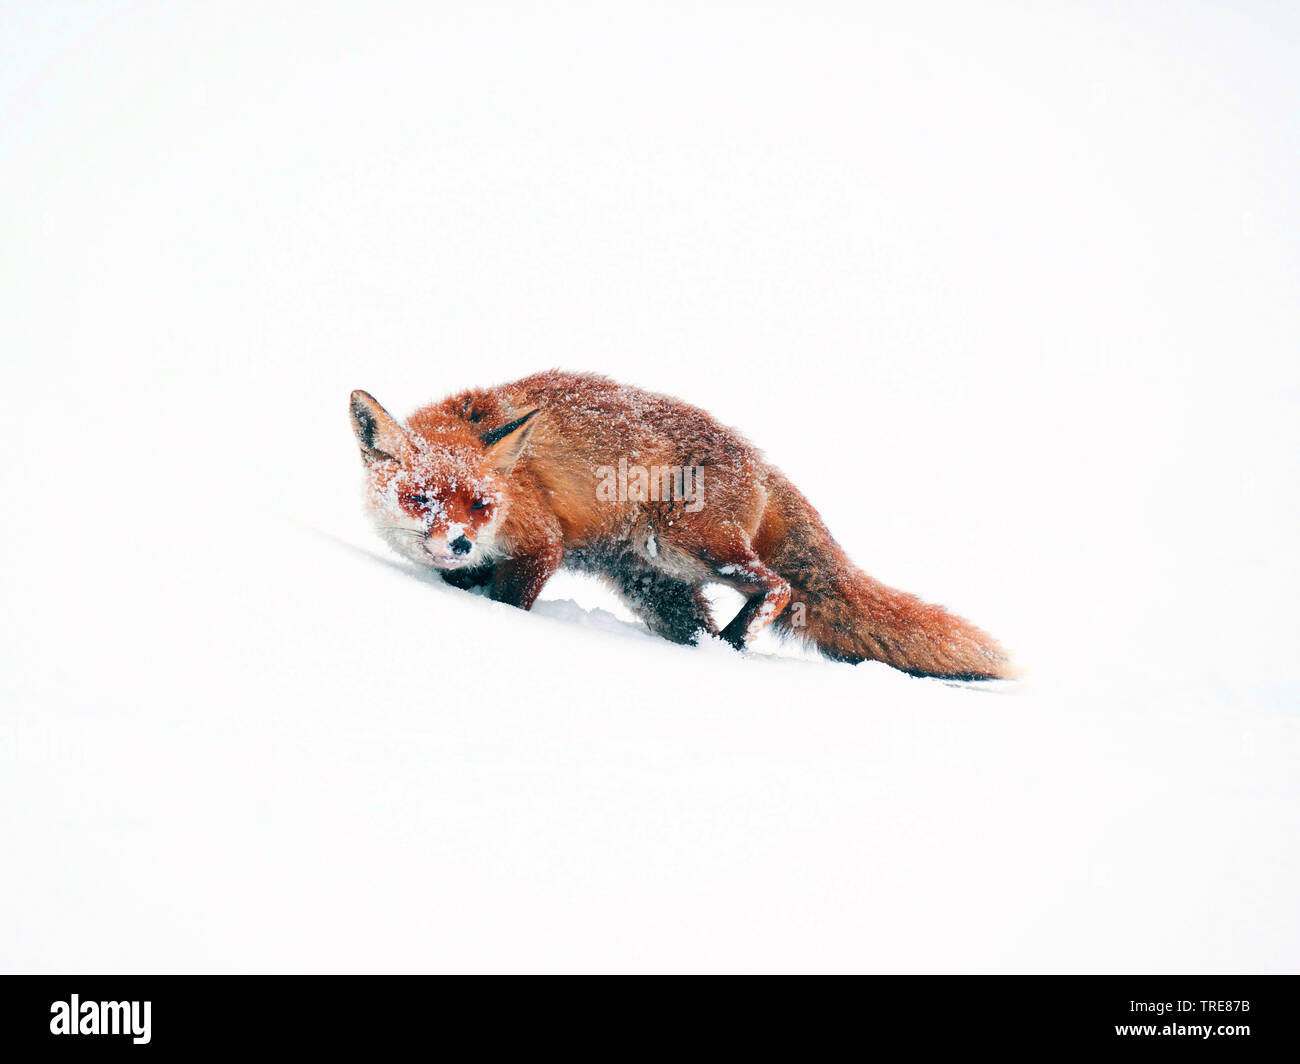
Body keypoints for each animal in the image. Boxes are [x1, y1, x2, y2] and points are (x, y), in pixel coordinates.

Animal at [349, 370, 1015, 680]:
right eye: (420, 499)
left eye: (480, 506)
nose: (460, 542)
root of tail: (759, 460)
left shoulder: (543, 541)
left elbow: (508, 601)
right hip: (653, 585)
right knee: (706, 620)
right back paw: (713, 651)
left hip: (682, 546)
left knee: (779, 585)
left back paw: (737, 641)